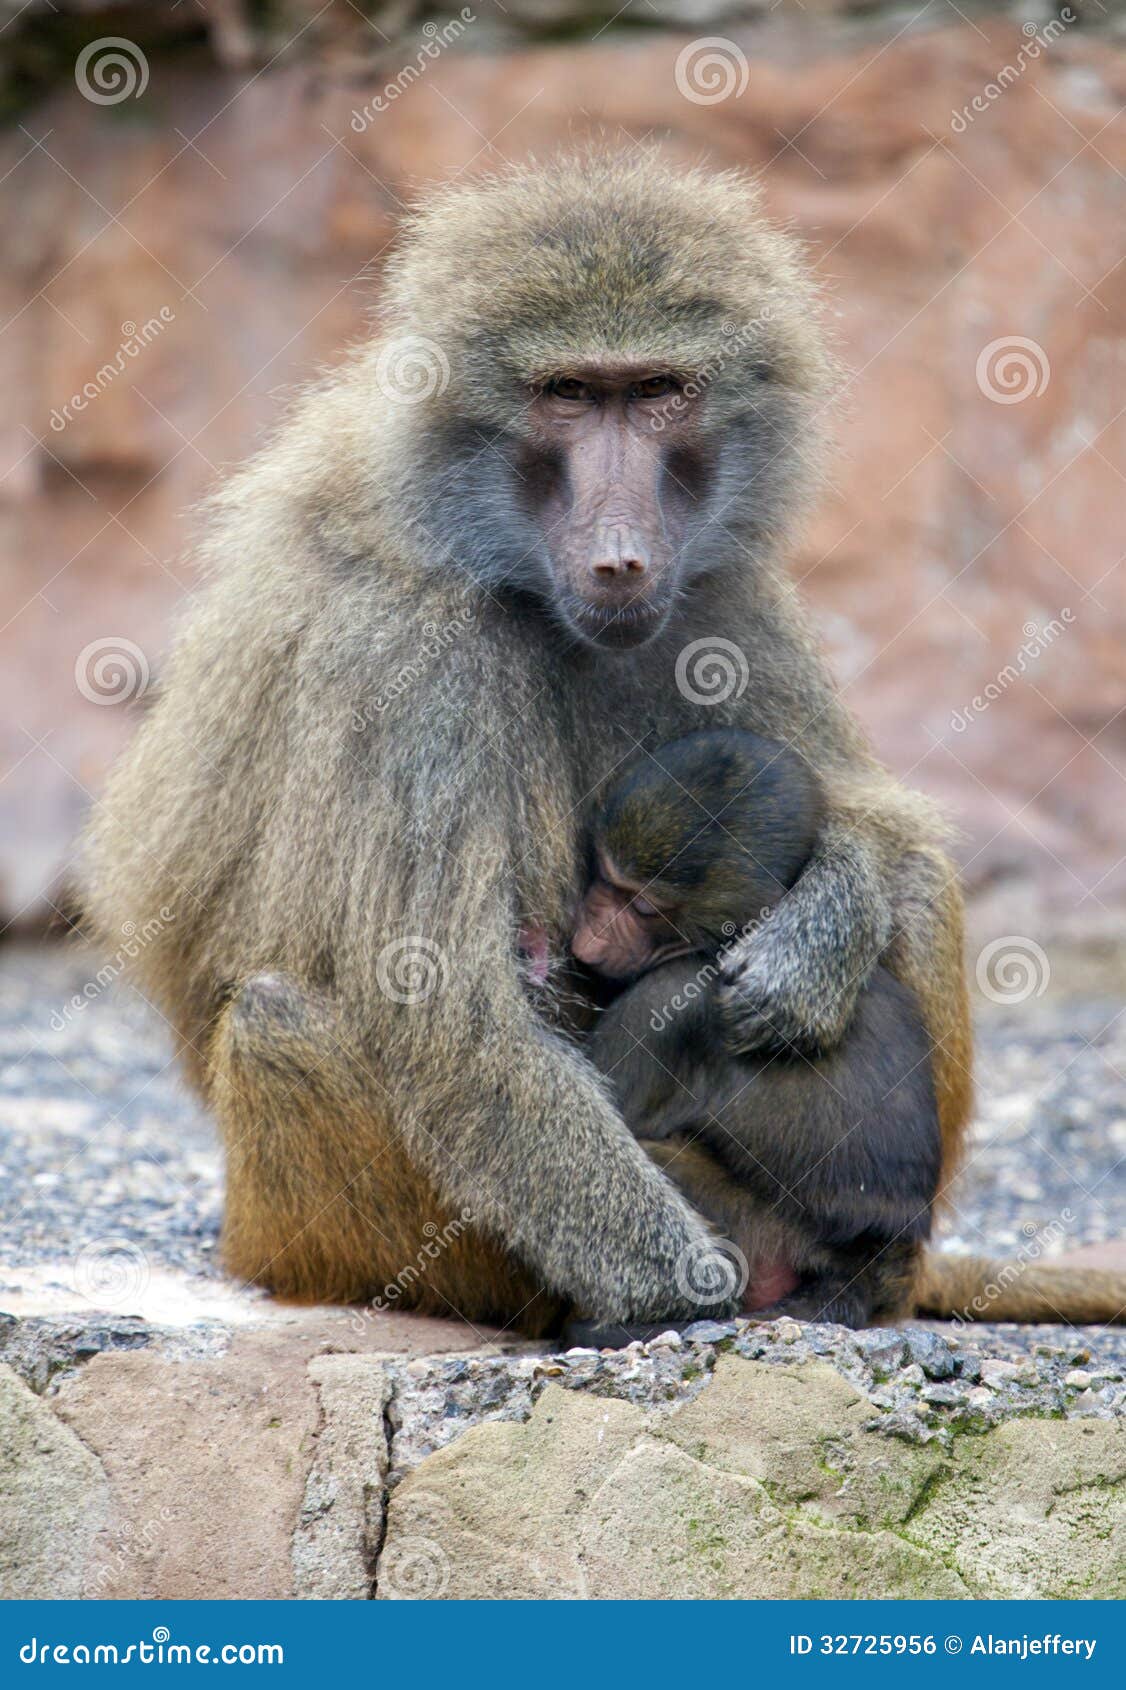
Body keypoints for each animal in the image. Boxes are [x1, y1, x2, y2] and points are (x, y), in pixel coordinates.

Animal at [572, 729, 942, 1330]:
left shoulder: (668, 999)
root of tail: (868, 1266)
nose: (588, 937)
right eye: (605, 875)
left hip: (761, 1234)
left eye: (643, 907)